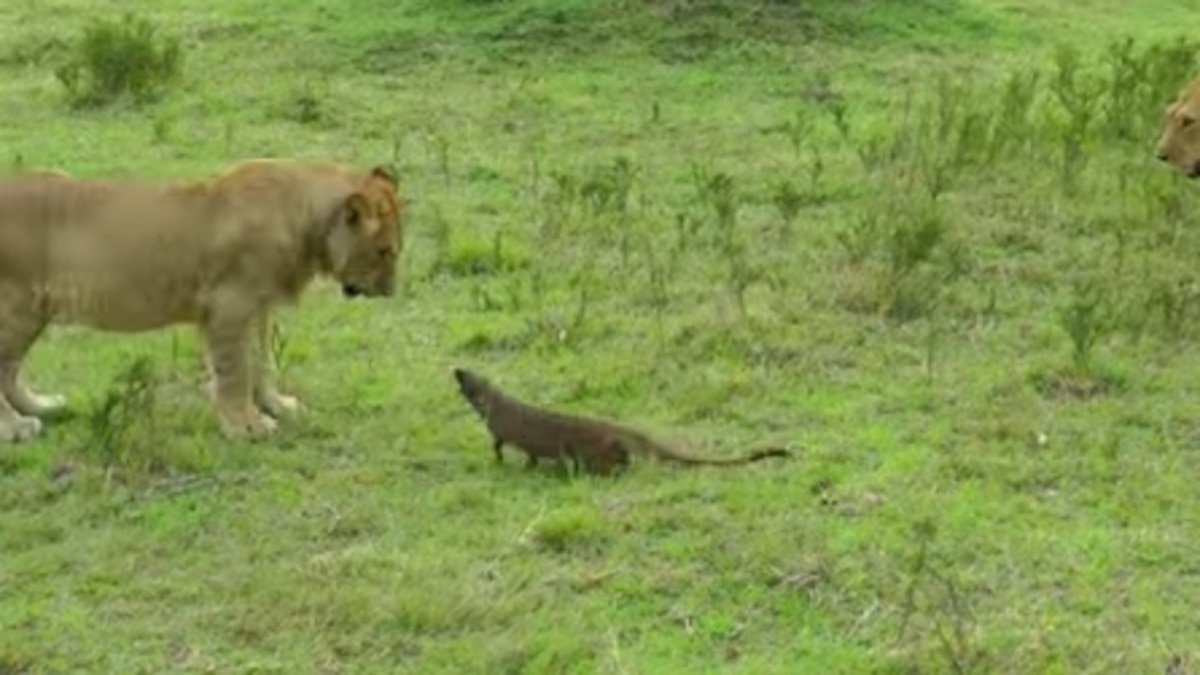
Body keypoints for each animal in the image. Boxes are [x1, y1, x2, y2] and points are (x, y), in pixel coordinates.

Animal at [0, 158, 405, 442]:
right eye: (385, 251)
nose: (391, 291)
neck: (304, 219)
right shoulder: (229, 308)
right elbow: (236, 371)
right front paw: (247, 426)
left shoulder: (258, 308)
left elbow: (263, 363)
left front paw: (277, 405)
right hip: (18, 311)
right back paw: (16, 428)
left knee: (10, 371)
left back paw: (43, 406)